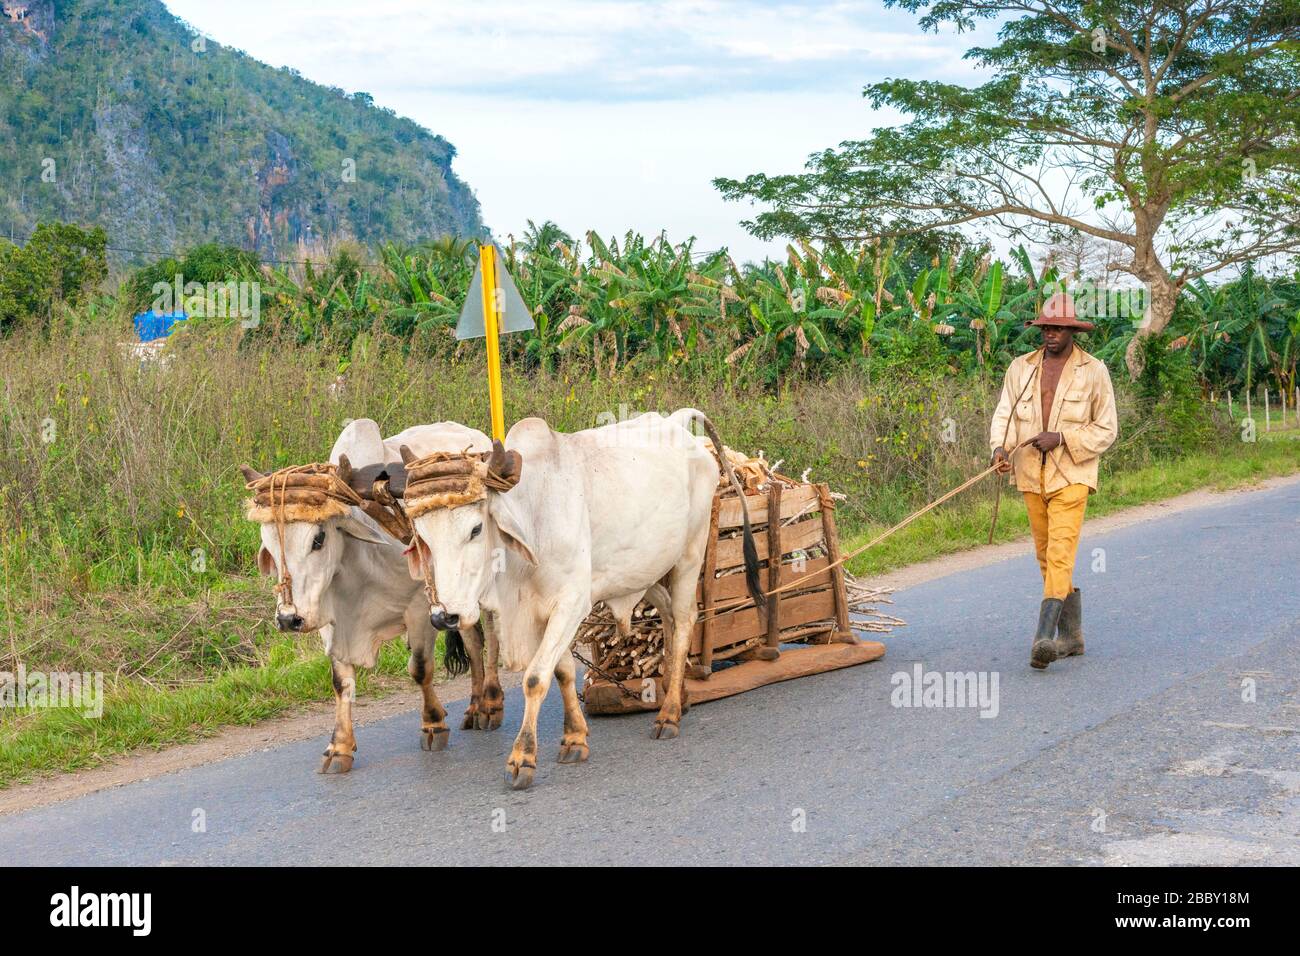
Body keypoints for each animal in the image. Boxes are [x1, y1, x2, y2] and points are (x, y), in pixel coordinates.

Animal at [240, 418, 505, 773]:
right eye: (268, 545)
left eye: (318, 538)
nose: (287, 619)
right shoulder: (330, 617)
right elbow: (341, 682)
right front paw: (339, 746)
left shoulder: (421, 606)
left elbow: (420, 668)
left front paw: (433, 724)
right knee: (474, 643)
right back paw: (475, 706)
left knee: (490, 639)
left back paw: (490, 704)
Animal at [402, 408, 761, 790]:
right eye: (423, 538)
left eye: (475, 529)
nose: (444, 617)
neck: (534, 516)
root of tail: (676, 422)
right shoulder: (545, 613)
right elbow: (561, 671)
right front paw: (574, 738)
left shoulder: (571, 603)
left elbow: (535, 678)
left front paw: (522, 757)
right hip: (643, 571)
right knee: (668, 615)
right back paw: (677, 693)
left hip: (690, 556)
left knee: (684, 619)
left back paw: (668, 715)